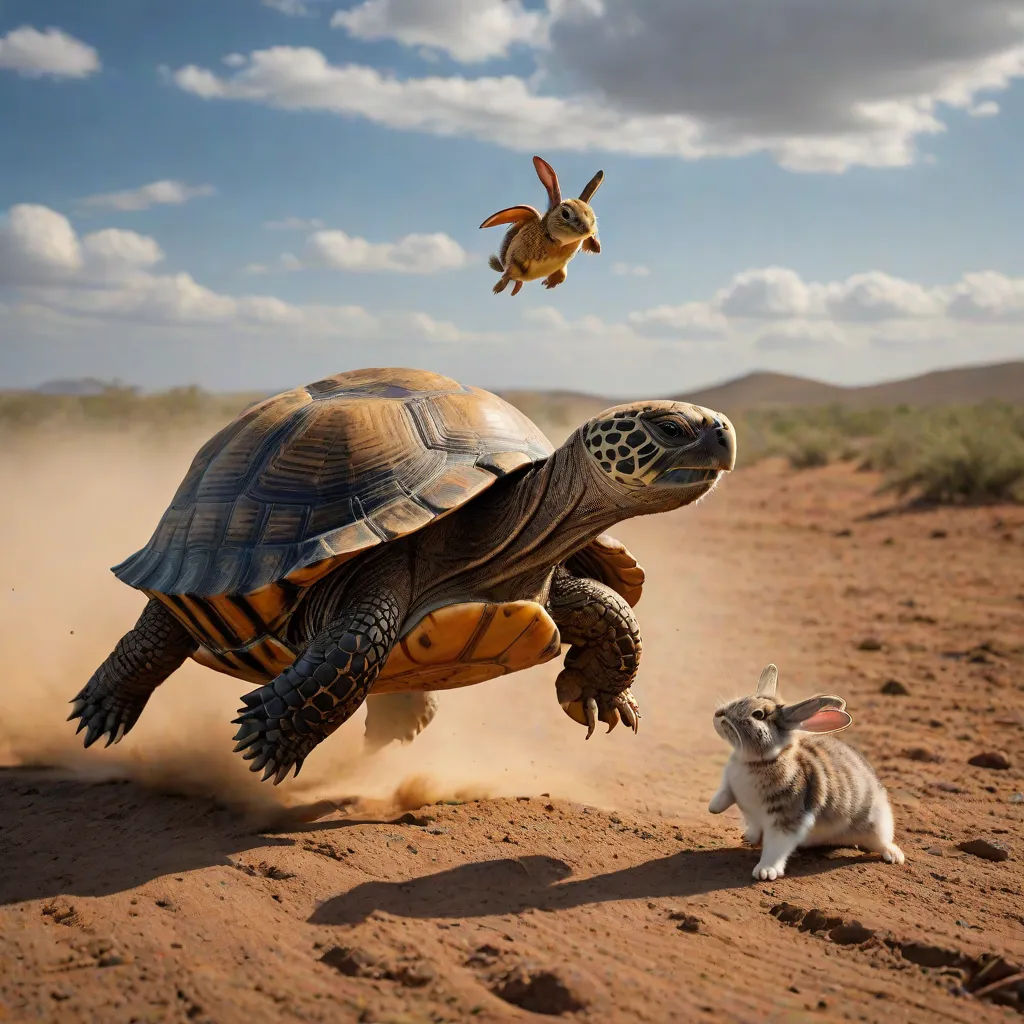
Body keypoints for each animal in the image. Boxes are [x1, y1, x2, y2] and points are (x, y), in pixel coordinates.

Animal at [480, 155, 603, 295]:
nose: (589, 231)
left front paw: (550, 283)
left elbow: (562, 275)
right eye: (565, 214)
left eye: (593, 217)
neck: (560, 244)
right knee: (508, 273)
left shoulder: (562, 264)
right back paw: (500, 287)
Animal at [709, 663, 905, 881]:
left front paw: (765, 872)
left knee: (881, 841)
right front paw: (713, 808)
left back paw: (894, 856)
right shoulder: (734, 789)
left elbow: (776, 848)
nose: (718, 714)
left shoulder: (788, 818)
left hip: (876, 825)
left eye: (758, 715)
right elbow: (725, 794)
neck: (757, 762)